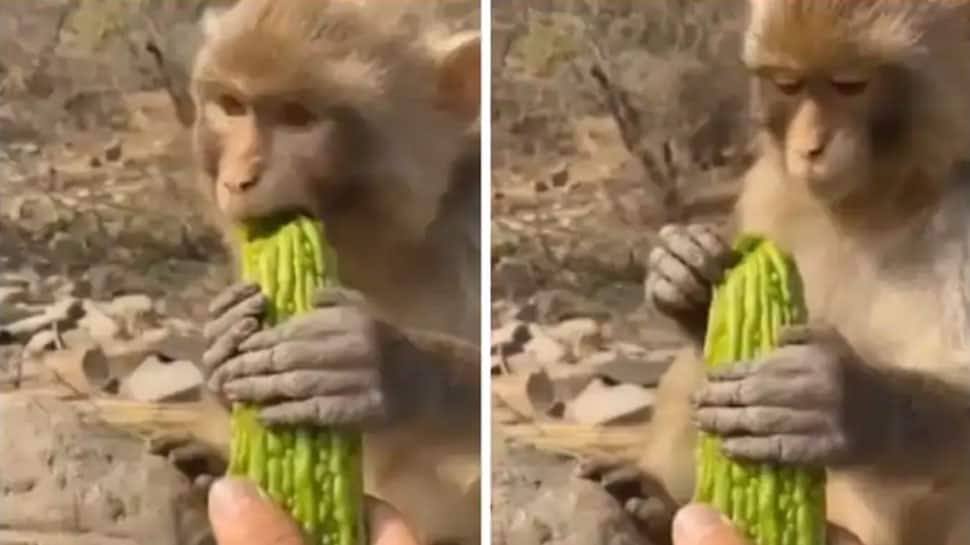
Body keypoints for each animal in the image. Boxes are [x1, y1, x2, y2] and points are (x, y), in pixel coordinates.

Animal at [582, 2, 970, 545]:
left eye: (850, 85)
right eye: (789, 85)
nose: (811, 147)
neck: (879, 198)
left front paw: (847, 405)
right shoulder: (768, 186)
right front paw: (686, 282)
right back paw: (654, 504)